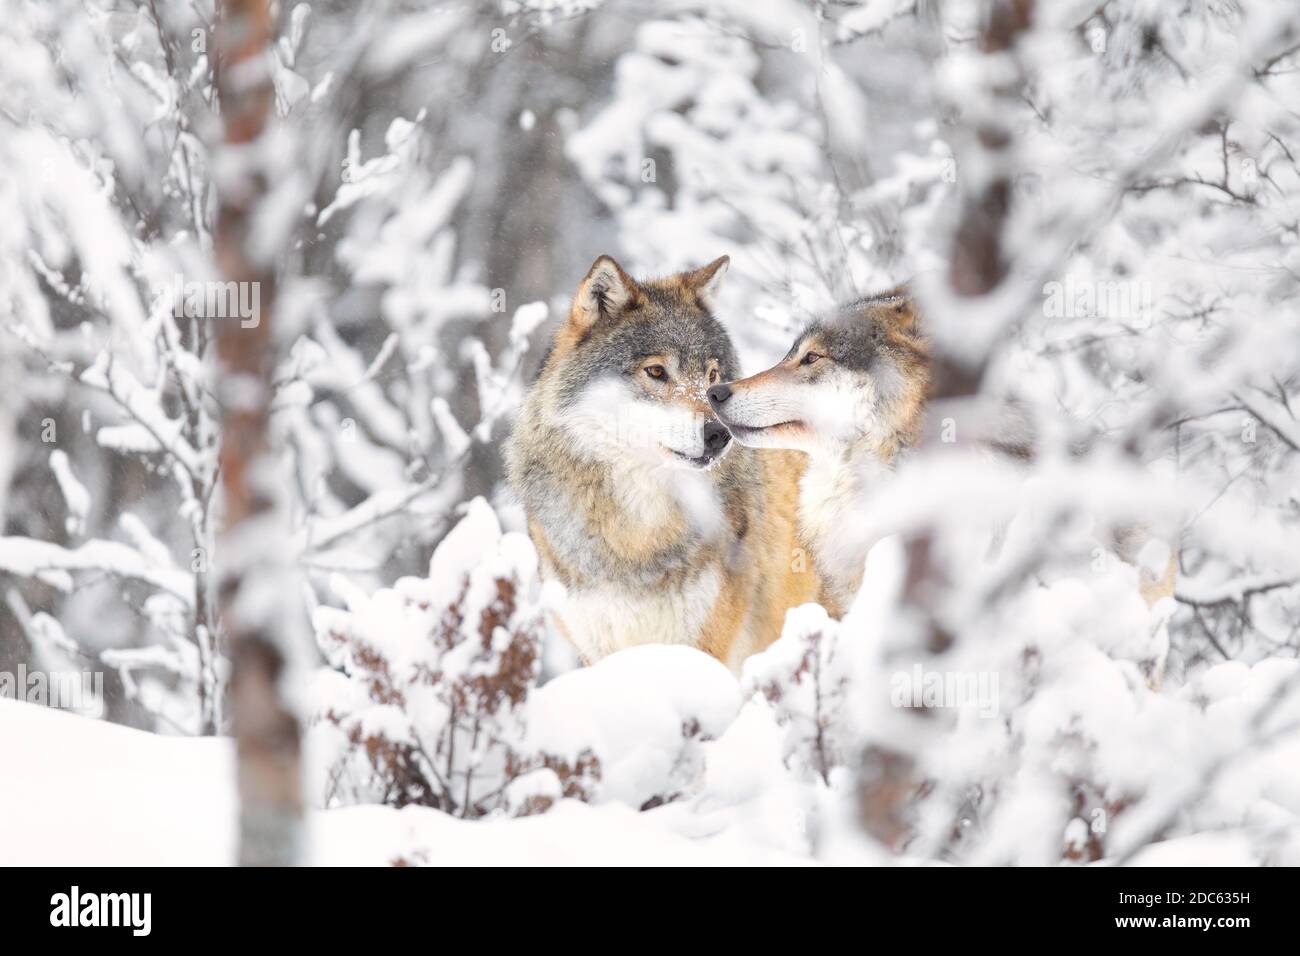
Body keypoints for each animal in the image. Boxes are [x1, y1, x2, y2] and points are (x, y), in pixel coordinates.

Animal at [505, 255, 821, 669]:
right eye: (656, 371)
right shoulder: (598, 653)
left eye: (712, 376)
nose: (719, 434)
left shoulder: (703, 649)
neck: (635, 538)